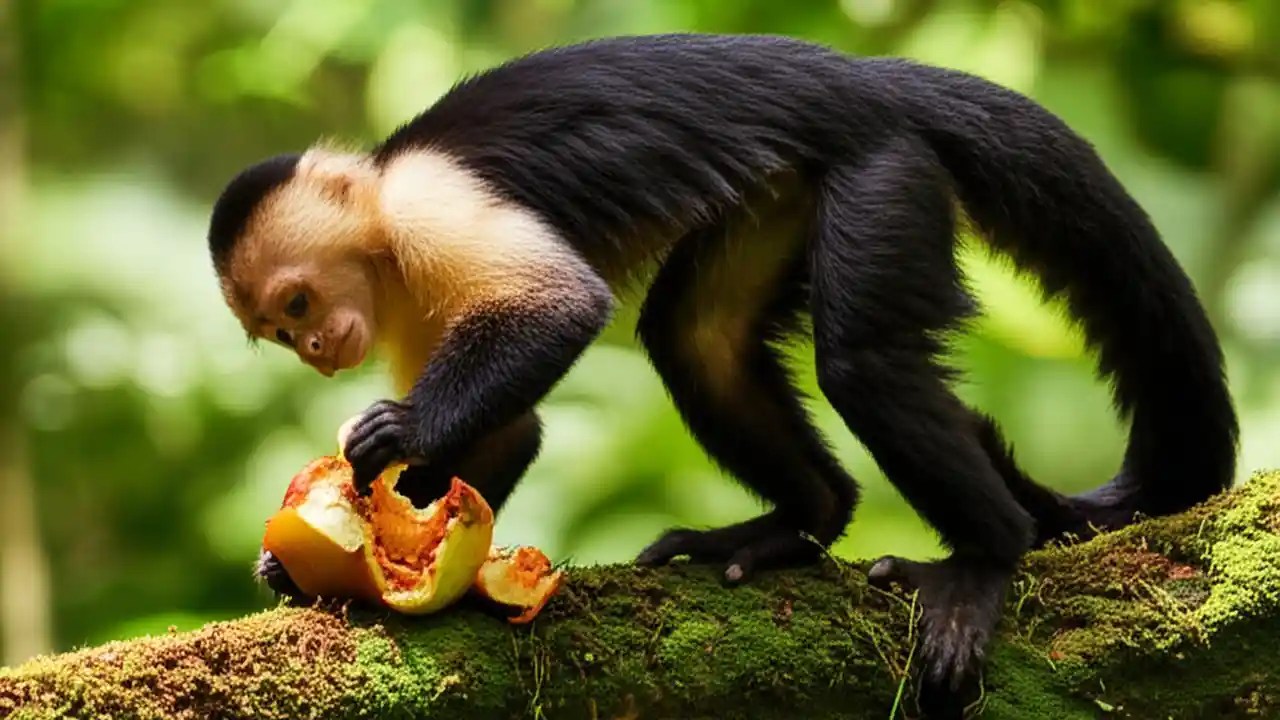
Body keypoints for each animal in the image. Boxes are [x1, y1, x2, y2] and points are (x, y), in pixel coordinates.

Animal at [207, 33, 1238, 717]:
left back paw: (986, 556)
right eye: (278, 330)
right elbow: (507, 432)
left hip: (883, 169)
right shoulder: (405, 302)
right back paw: (799, 523)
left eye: (296, 303)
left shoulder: (430, 211)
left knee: (861, 365)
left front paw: (403, 435)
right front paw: (323, 565)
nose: (317, 349)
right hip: (784, 189)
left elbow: (561, 309)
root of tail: (864, 80)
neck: (381, 219)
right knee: (694, 337)